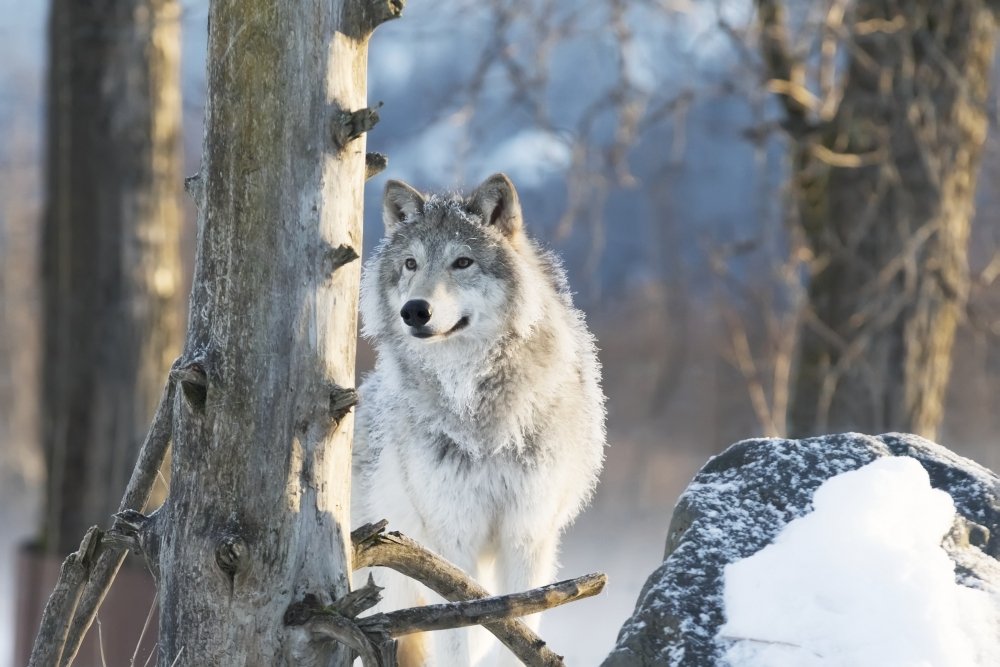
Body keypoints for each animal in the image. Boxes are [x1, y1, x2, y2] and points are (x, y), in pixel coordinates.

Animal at [353, 173, 606, 666]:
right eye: (411, 264)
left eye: (462, 262)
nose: (414, 310)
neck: (482, 420)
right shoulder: (454, 539)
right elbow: (459, 633)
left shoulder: (526, 538)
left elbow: (516, 627)